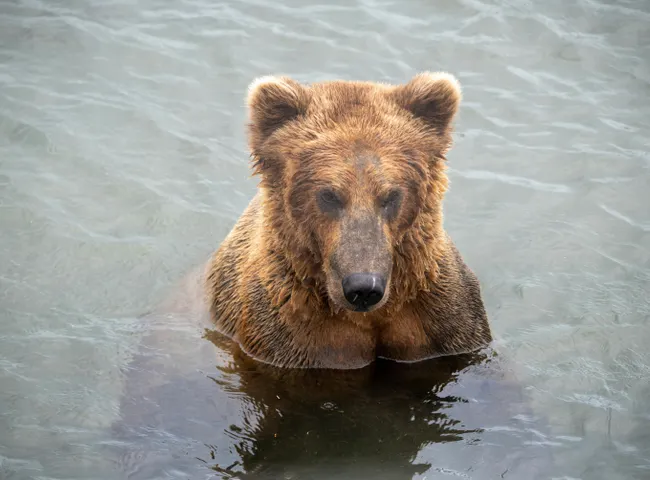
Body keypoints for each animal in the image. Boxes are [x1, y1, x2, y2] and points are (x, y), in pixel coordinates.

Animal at [205, 71, 492, 369]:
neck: (374, 315)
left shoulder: (442, 320)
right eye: (329, 195)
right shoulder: (289, 333)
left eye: (391, 195)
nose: (363, 287)